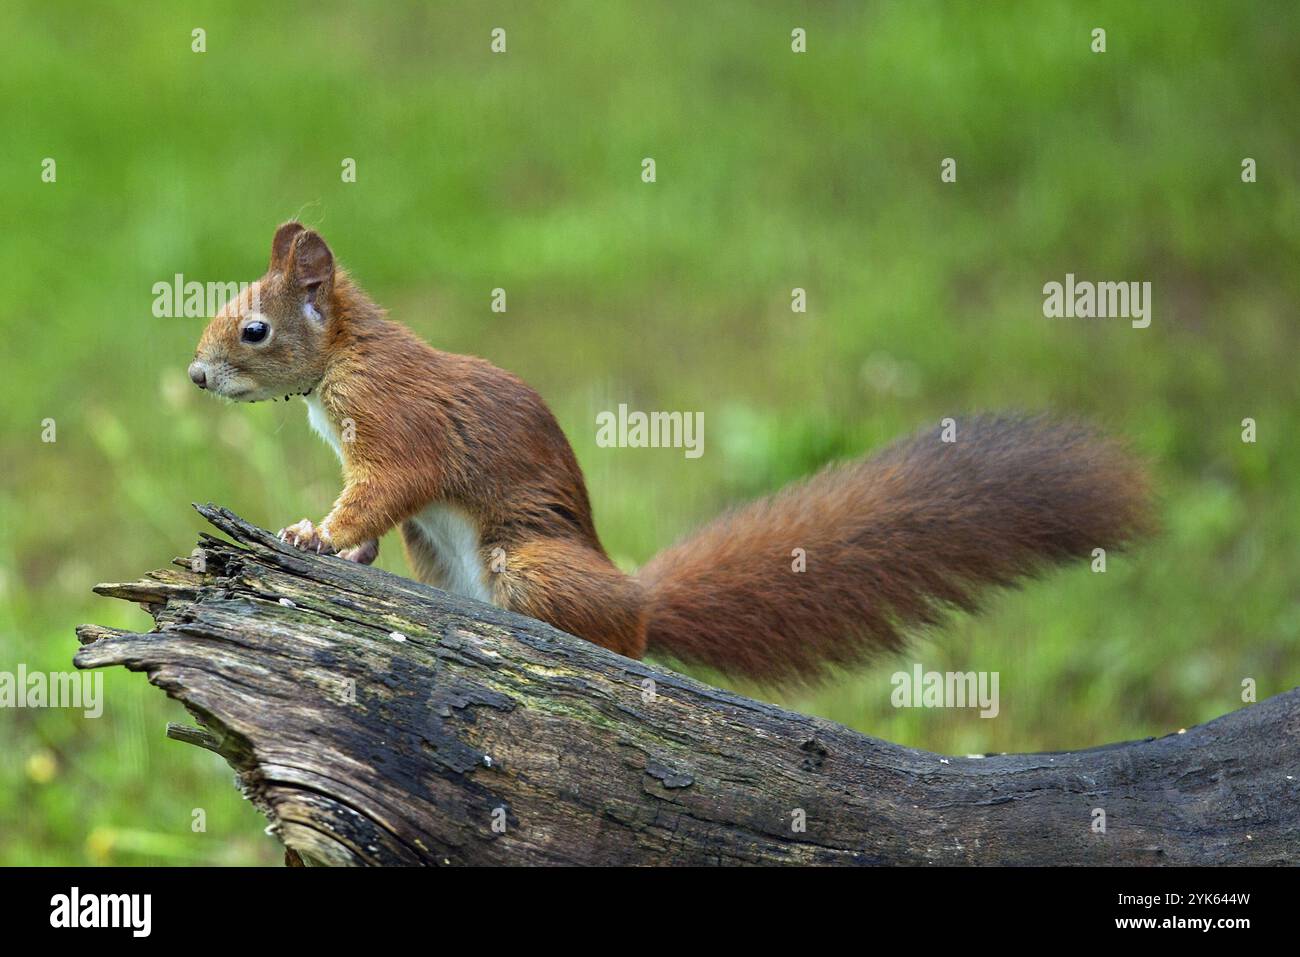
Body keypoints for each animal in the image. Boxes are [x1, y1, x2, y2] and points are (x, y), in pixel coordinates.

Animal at [188, 222, 1152, 683]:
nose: (196, 375)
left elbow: (380, 491)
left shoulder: (397, 429)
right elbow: (379, 517)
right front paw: (347, 549)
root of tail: (640, 600)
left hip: (529, 561)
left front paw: (315, 534)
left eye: (253, 328)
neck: (347, 360)